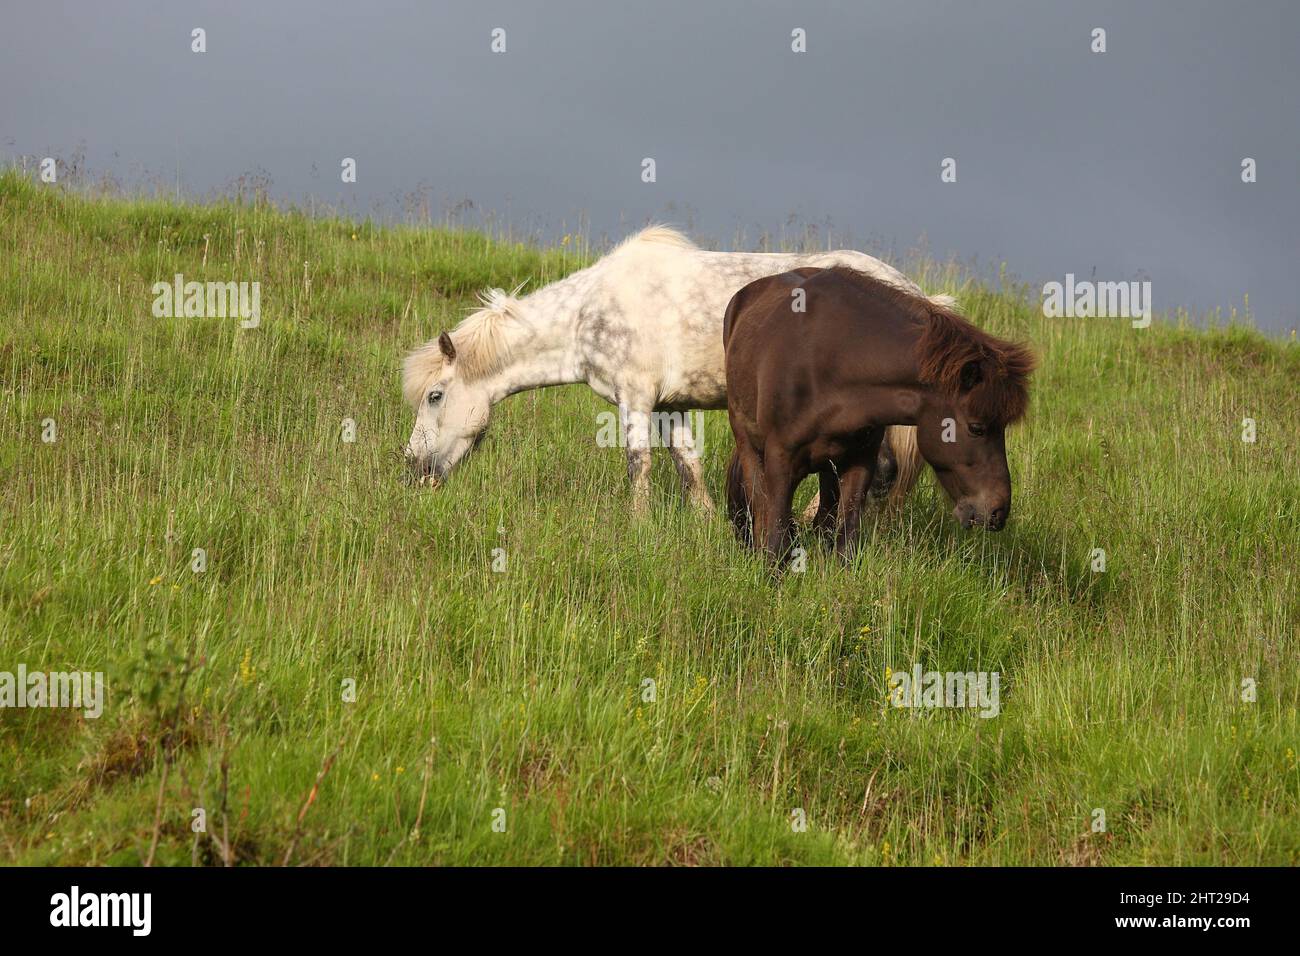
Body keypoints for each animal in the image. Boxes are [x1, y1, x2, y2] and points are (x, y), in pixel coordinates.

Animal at [402, 226, 953, 513]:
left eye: (435, 396)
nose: (414, 468)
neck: (589, 312)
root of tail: (918, 297)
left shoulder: (635, 398)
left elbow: (637, 463)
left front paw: (639, 527)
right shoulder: (671, 406)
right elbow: (688, 465)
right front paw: (706, 523)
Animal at [722, 266, 1036, 562]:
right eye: (976, 427)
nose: (997, 511)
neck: (833, 364)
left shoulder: (860, 462)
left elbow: (845, 540)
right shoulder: (780, 461)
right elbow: (776, 539)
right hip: (750, 445)